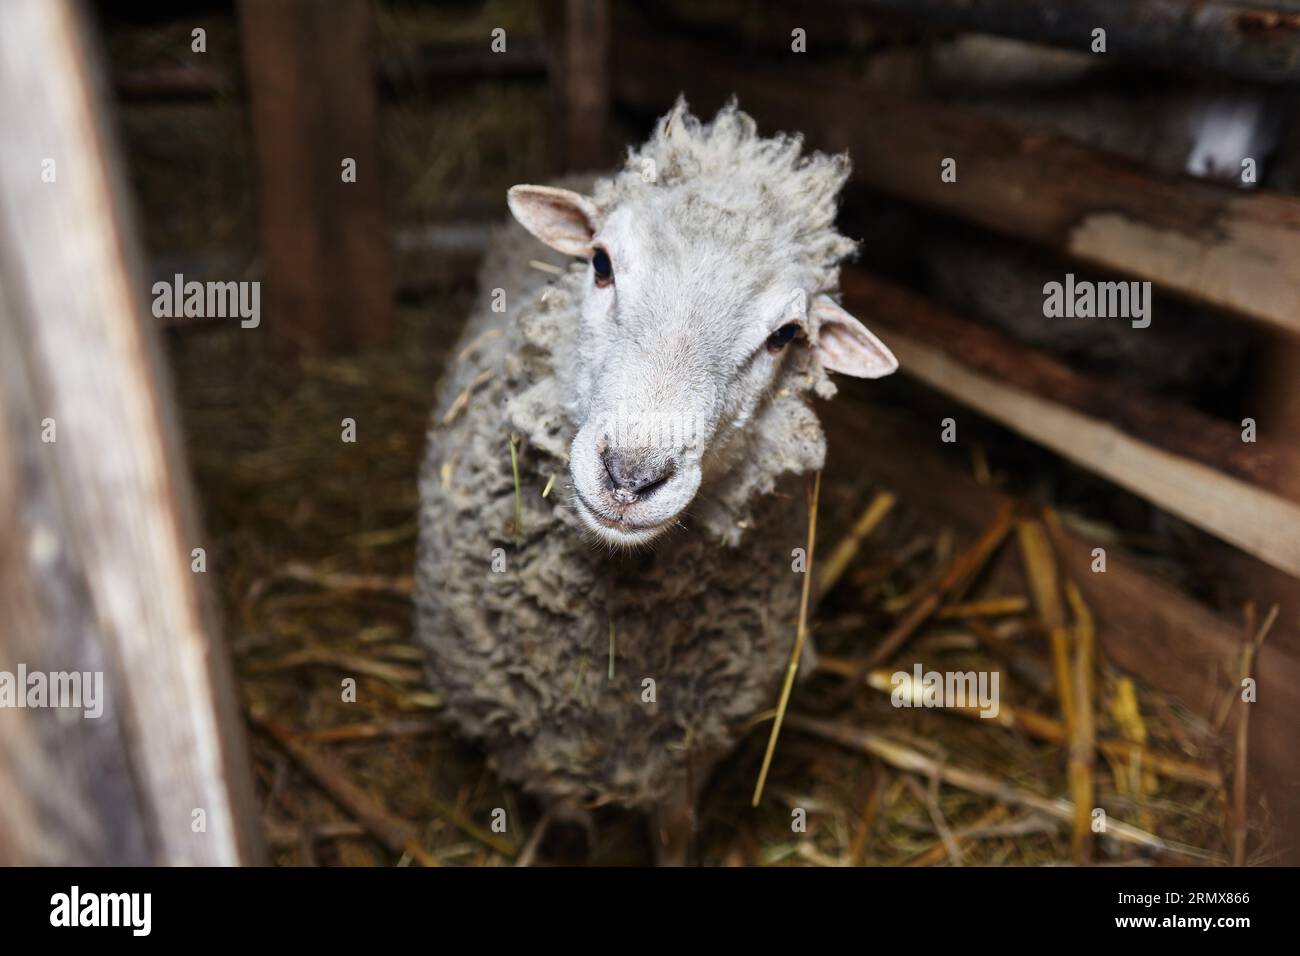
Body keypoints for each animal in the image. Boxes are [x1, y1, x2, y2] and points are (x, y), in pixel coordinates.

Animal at [414, 98, 898, 863]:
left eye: (788, 335)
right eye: (601, 263)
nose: (632, 474)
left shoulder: (690, 751)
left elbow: (674, 832)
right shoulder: (528, 742)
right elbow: (568, 820)